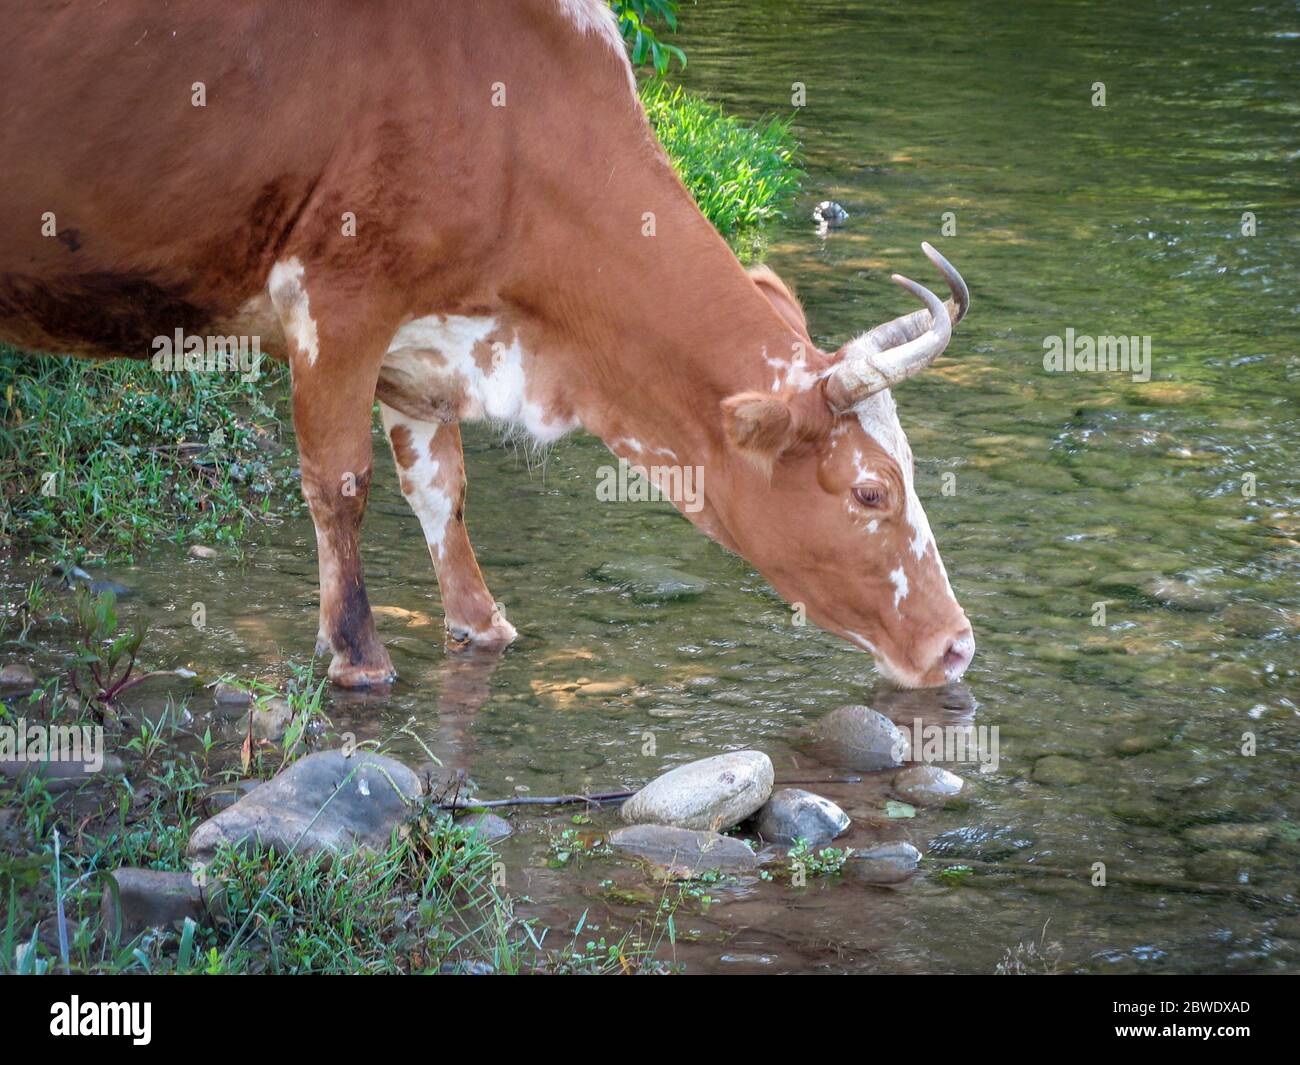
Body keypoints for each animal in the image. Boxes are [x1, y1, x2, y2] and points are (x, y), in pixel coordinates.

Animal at [0, 0, 974, 691]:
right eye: (871, 490)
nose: (958, 647)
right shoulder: (336, 301)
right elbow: (340, 481)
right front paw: (357, 652)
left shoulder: (424, 342)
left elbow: (440, 487)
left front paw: (481, 623)